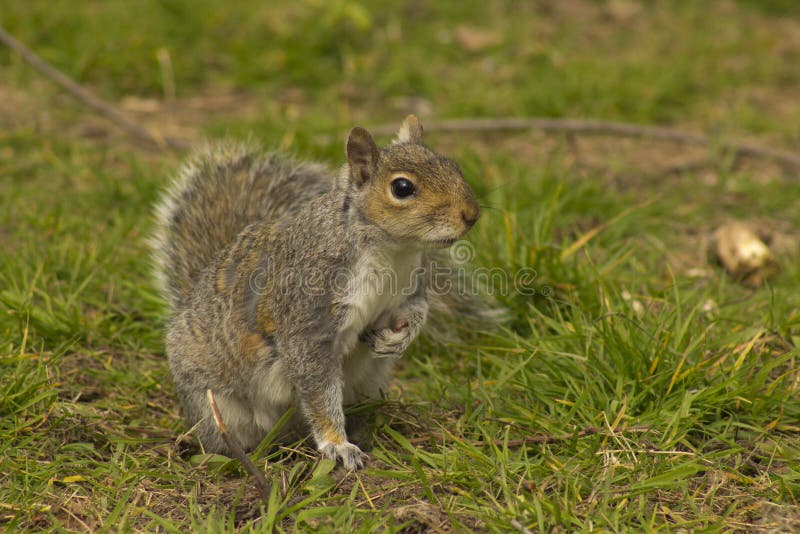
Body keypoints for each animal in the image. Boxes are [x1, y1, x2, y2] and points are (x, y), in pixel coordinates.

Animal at [150, 116, 486, 470]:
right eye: (402, 188)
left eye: (453, 165)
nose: (471, 214)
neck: (390, 253)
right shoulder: (308, 312)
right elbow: (317, 388)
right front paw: (337, 444)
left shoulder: (408, 290)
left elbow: (416, 312)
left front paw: (397, 338)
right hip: (215, 402)